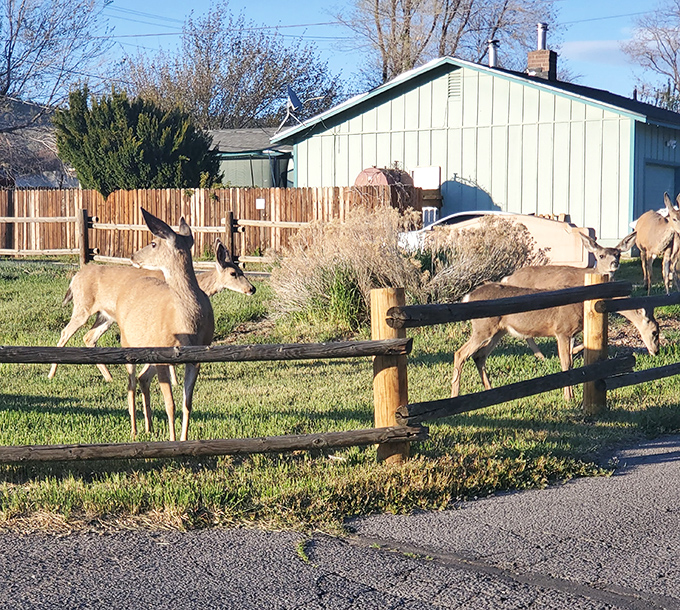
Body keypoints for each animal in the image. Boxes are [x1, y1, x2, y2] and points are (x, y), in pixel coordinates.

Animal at [48, 239, 254, 383]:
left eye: (242, 271)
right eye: (233, 273)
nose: (252, 289)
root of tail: (74, 278)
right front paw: (175, 381)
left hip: (106, 315)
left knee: (89, 337)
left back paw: (109, 377)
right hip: (83, 305)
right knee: (66, 332)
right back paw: (51, 374)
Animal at [113, 208, 213, 441]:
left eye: (153, 243)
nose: (133, 256)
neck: (187, 321)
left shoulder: (196, 358)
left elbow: (187, 404)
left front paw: (184, 439)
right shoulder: (163, 352)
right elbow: (170, 405)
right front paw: (173, 440)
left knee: (142, 378)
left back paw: (149, 427)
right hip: (127, 341)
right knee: (131, 383)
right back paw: (134, 430)